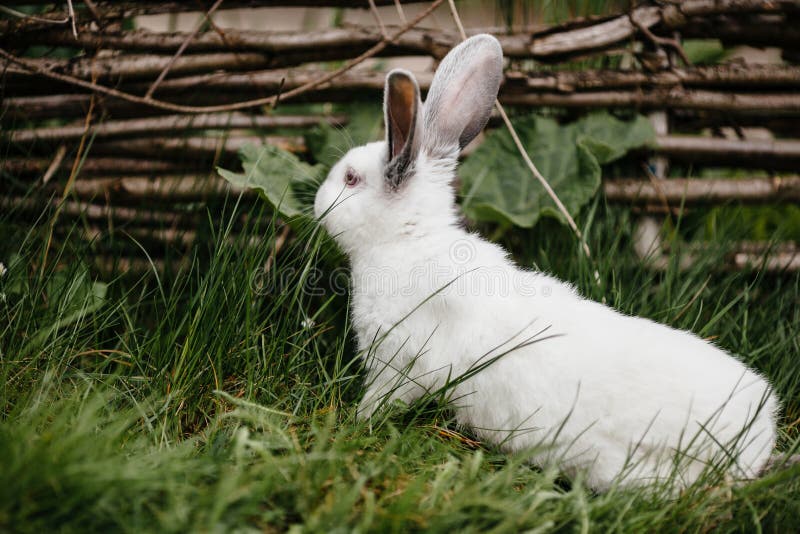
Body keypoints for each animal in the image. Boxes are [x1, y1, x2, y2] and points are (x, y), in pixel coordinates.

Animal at [313, 34, 778, 490]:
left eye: (351, 179)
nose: (317, 201)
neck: (408, 240)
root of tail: (757, 437)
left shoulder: (398, 366)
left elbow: (382, 400)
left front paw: (355, 421)